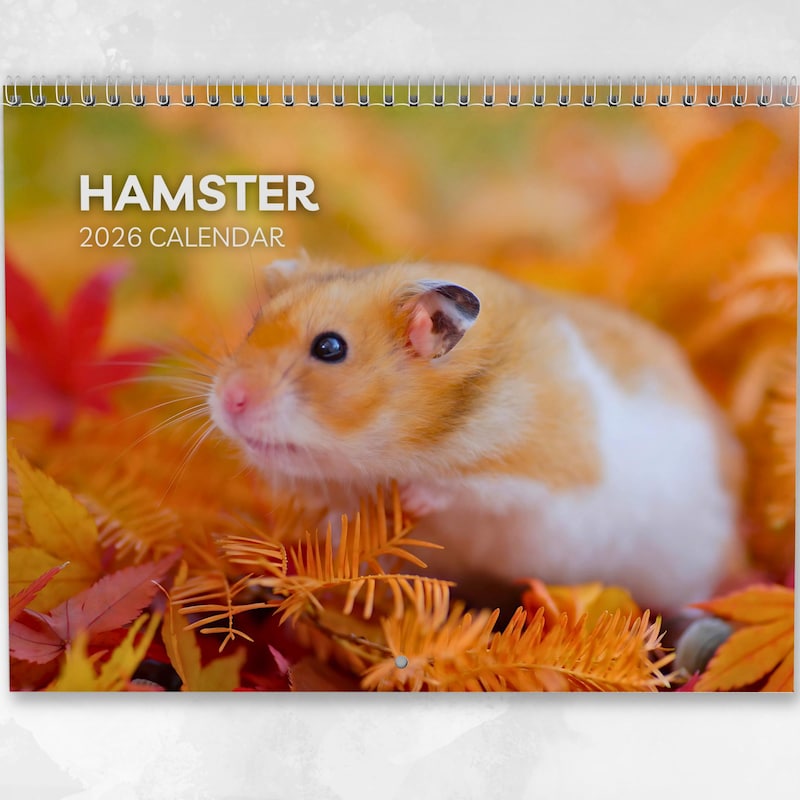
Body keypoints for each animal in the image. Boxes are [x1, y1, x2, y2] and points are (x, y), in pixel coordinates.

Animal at [208, 258, 743, 612]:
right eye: (253, 326)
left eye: (330, 347)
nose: (229, 400)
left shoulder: (534, 475)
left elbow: (471, 489)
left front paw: (410, 500)